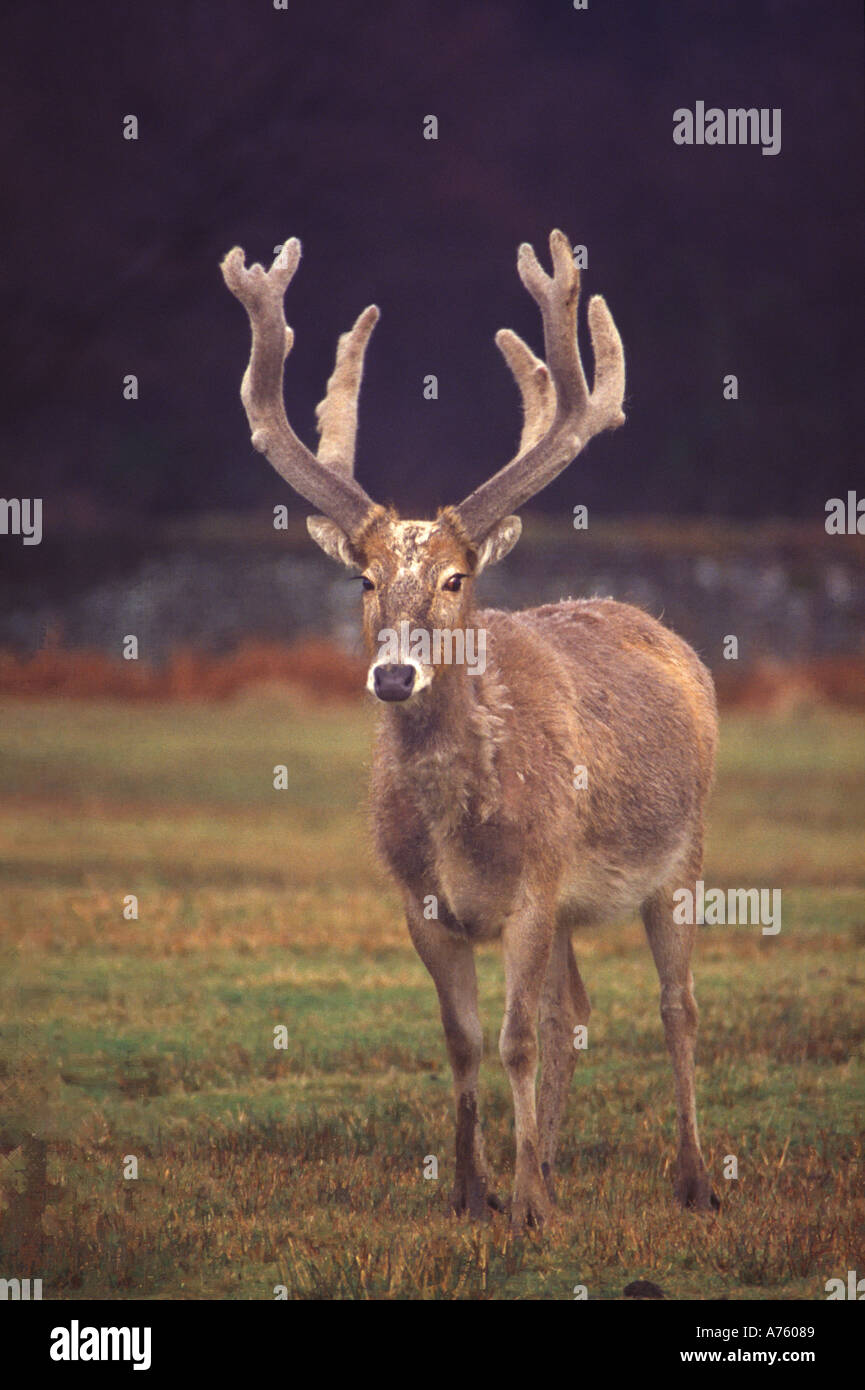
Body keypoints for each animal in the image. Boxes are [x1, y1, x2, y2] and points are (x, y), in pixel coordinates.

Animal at [221, 230, 720, 1229]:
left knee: (674, 1005)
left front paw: (524, 1208)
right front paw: (471, 1190)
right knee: (577, 1011)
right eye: (364, 579)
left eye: (456, 578)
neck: (460, 826)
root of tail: (662, 632)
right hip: (577, 897)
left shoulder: (533, 883)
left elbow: (515, 1037)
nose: (393, 675)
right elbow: (464, 1041)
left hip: (681, 856)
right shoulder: (422, 899)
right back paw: (555, 1163)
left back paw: (689, 1179)